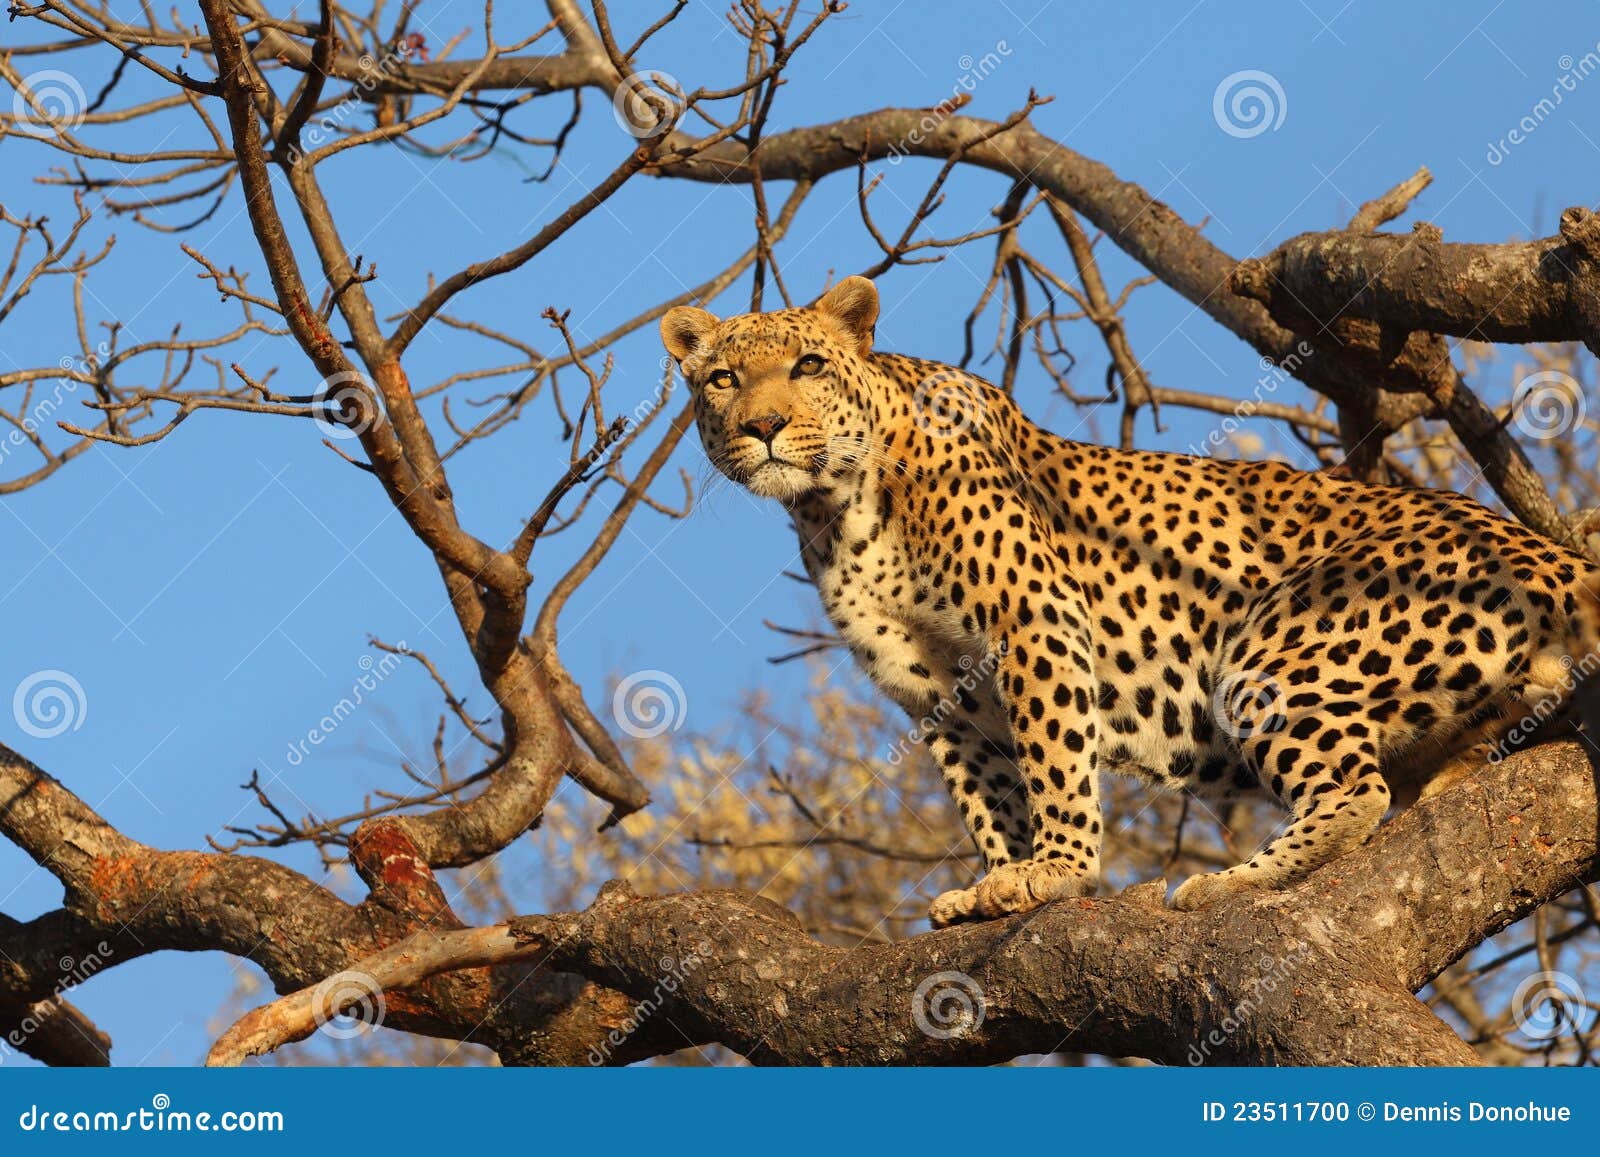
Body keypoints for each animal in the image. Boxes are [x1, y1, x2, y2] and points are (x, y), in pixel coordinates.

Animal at [661, 274, 1600, 926]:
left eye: (809, 365)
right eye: (721, 379)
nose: (762, 427)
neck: (836, 508)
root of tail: (1553, 553)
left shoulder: (1032, 622)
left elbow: (1052, 758)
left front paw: (1058, 868)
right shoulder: (934, 690)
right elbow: (987, 790)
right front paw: (999, 877)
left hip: (1276, 651)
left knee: (1350, 792)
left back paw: (1221, 883)